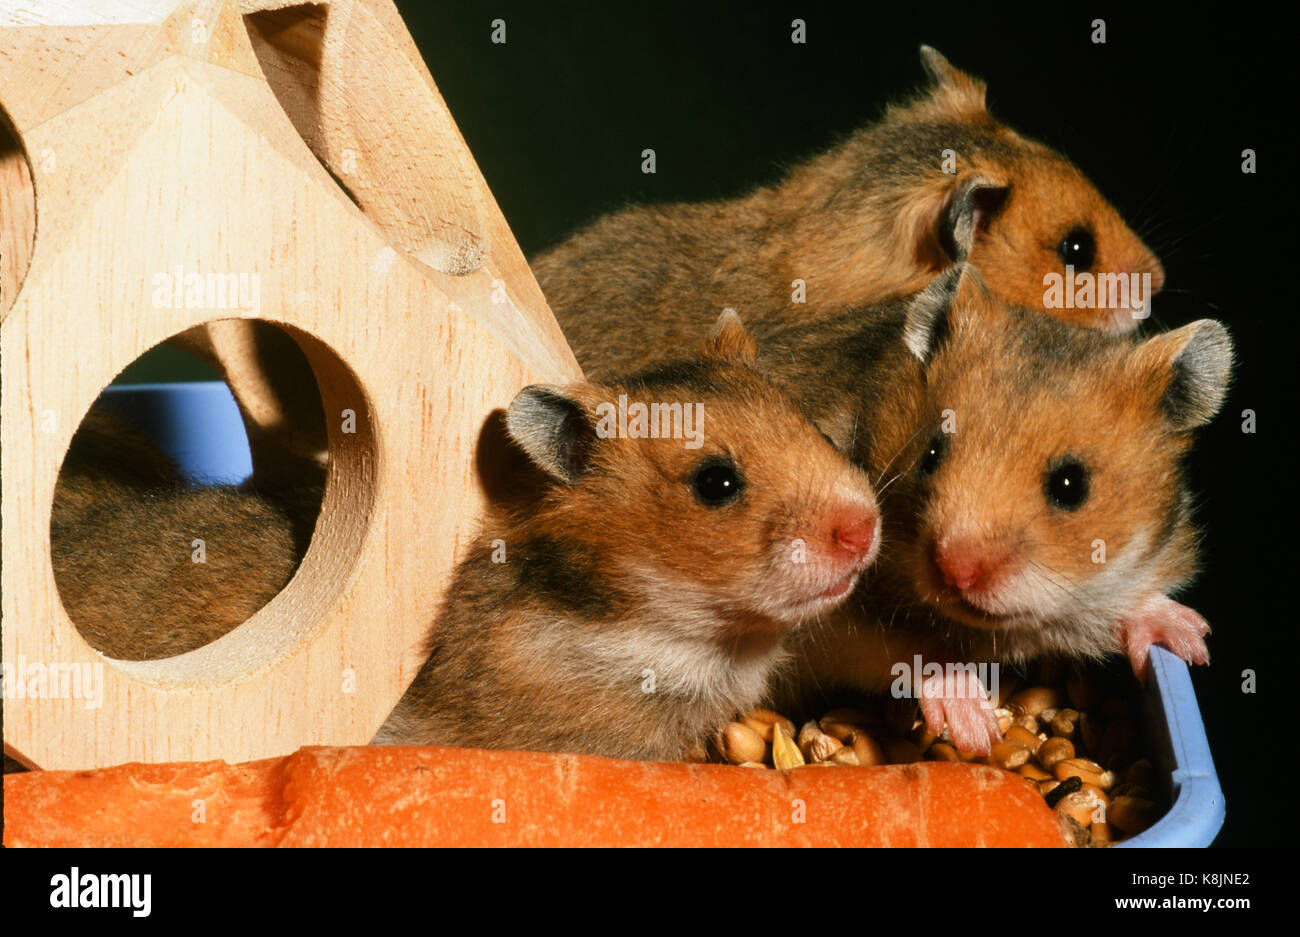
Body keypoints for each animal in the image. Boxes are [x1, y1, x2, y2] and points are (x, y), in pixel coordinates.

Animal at [758, 265, 1231, 751]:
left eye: (1070, 485)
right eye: (930, 455)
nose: (955, 572)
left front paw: (1195, 640)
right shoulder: (830, 626)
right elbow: (914, 650)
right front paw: (977, 733)